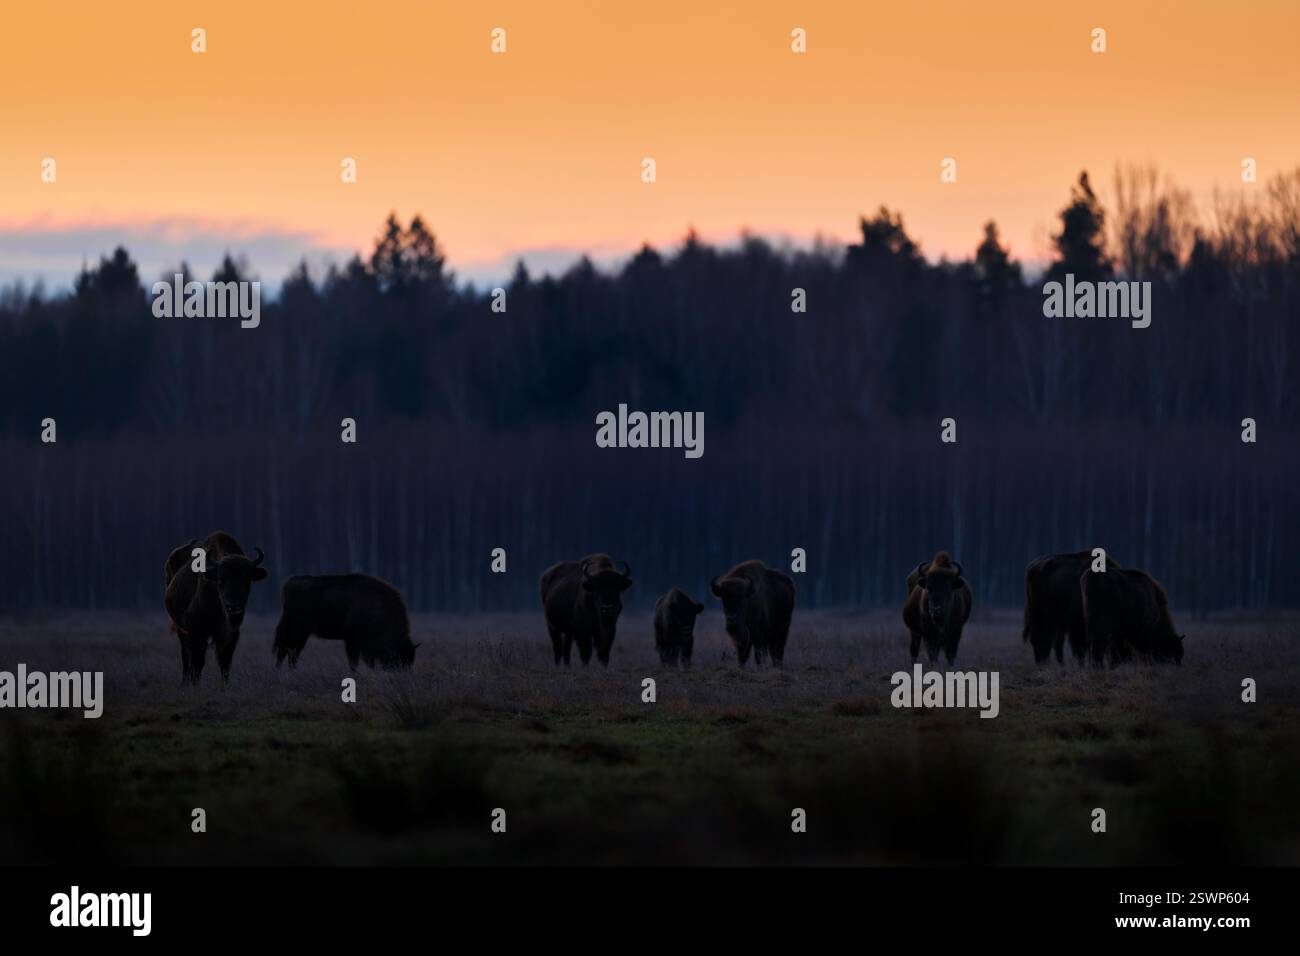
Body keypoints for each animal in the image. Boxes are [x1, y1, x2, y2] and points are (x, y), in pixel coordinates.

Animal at [163, 531, 268, 683]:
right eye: (221, 580)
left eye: (247, 580)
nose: (234, 606)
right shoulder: (197, 632)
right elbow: (198, 663)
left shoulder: (231, 634)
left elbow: (225, 663)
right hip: (180, 629)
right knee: (185, 656)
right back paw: (184, 682)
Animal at [274, 573, 417, 669]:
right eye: (398, 658)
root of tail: (289, 583)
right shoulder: (352, 641)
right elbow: (354, 661)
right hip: (292, 629)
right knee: (283, 649)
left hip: (302, 633)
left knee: (293, 651)